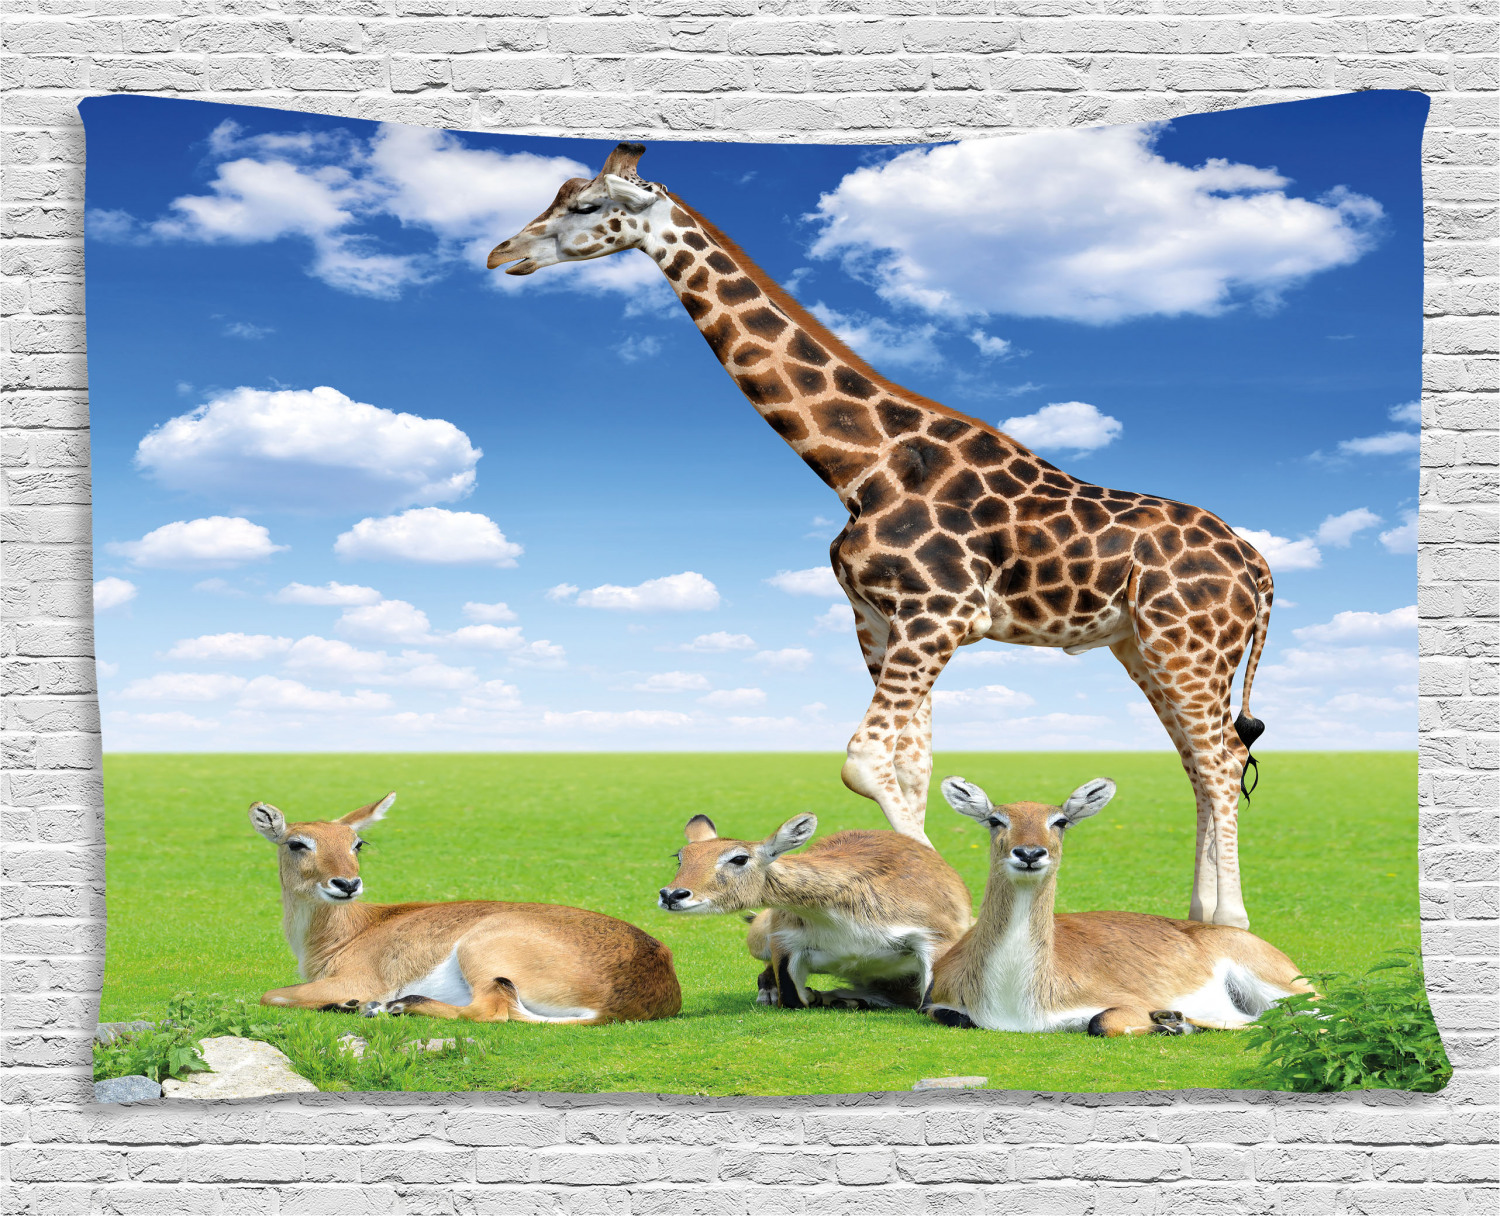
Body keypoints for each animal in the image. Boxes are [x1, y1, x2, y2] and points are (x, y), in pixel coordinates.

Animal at [250, 793, 682, 1024]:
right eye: (296, 843)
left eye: (357, 843)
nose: (346, 884)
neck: (350, 931)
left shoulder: (355, 980)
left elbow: (270, 995)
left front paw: (351, 1004)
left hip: (481, 952)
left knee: (490, 1009)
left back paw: (391, 1006)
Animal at [488, 142, 1273, 929]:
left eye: (587, 206)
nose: (501, 254)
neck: (860, 465)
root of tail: (1259, 568)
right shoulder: (880, 621)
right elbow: (912, 766)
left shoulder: (940, 616)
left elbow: (863, 760)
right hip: (1146, 647)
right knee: (1202, 758)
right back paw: (1201, 912)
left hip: (1188, 645)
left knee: (1219, 760)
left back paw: (1231, 920)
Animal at [659, 812, 972, 1010]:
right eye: (680, 857)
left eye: (739, 858)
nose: (671, 895)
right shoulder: (784, 942)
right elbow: (794, 999)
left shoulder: (937, 936)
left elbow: (927, 1003)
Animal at [926, 777, 1313, 1036]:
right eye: (996, 820)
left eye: (1060, 821)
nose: (1030, 853)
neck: (1016, 1005)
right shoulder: (938, 1003)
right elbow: (951, 1017)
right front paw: (1174, 1022)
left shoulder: (1120, 1002)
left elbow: (1101, 1021)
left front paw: (1173, 1022)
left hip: (1282, 987)